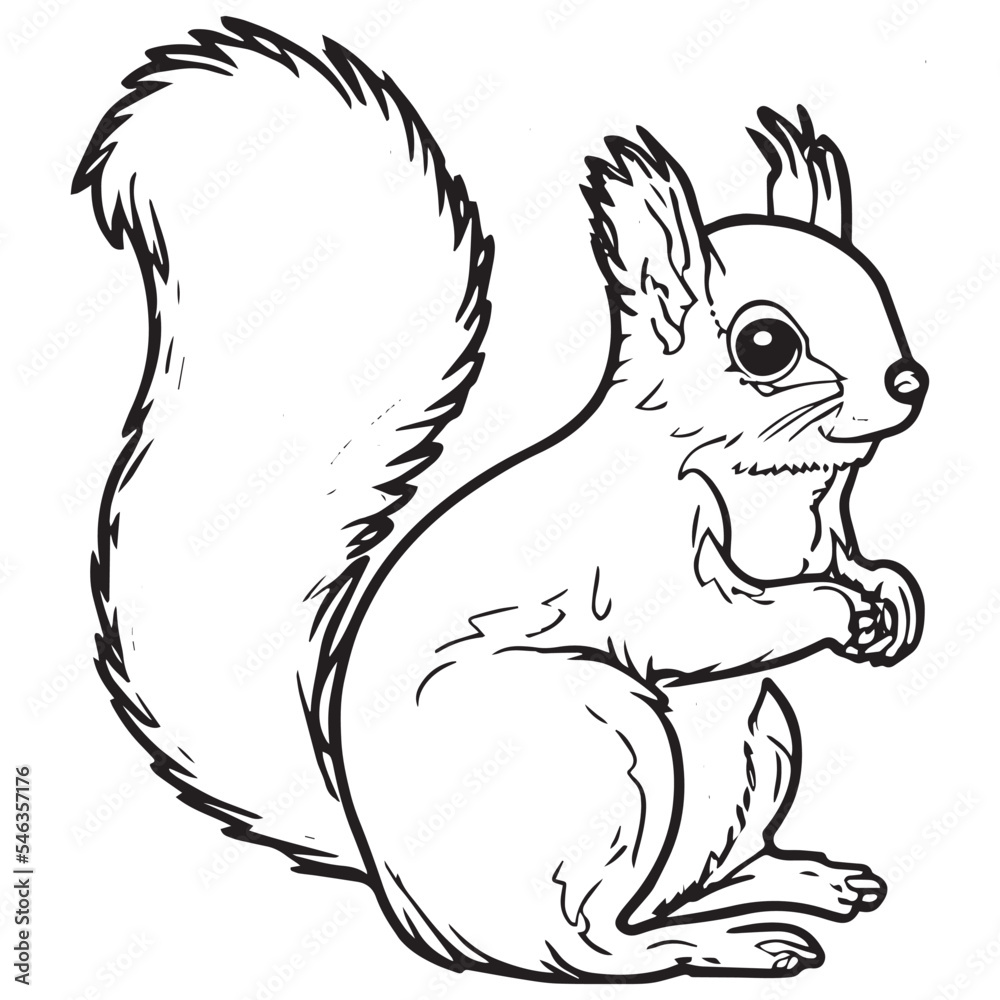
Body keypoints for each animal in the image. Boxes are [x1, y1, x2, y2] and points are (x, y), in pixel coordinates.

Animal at [75, 18, 927, 985]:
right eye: (765, 345)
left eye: (877, 287)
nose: (910, 382)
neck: (772, 485)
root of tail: (396, 888)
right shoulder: (641, 551)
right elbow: (703, 623)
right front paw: (832, 609)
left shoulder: (825, 525)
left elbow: (845, 560)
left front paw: (890, 595)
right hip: (608, 744)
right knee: (588, 940)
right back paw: (720, 942)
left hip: (760, 741)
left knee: (685, 882)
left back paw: (797, 881)